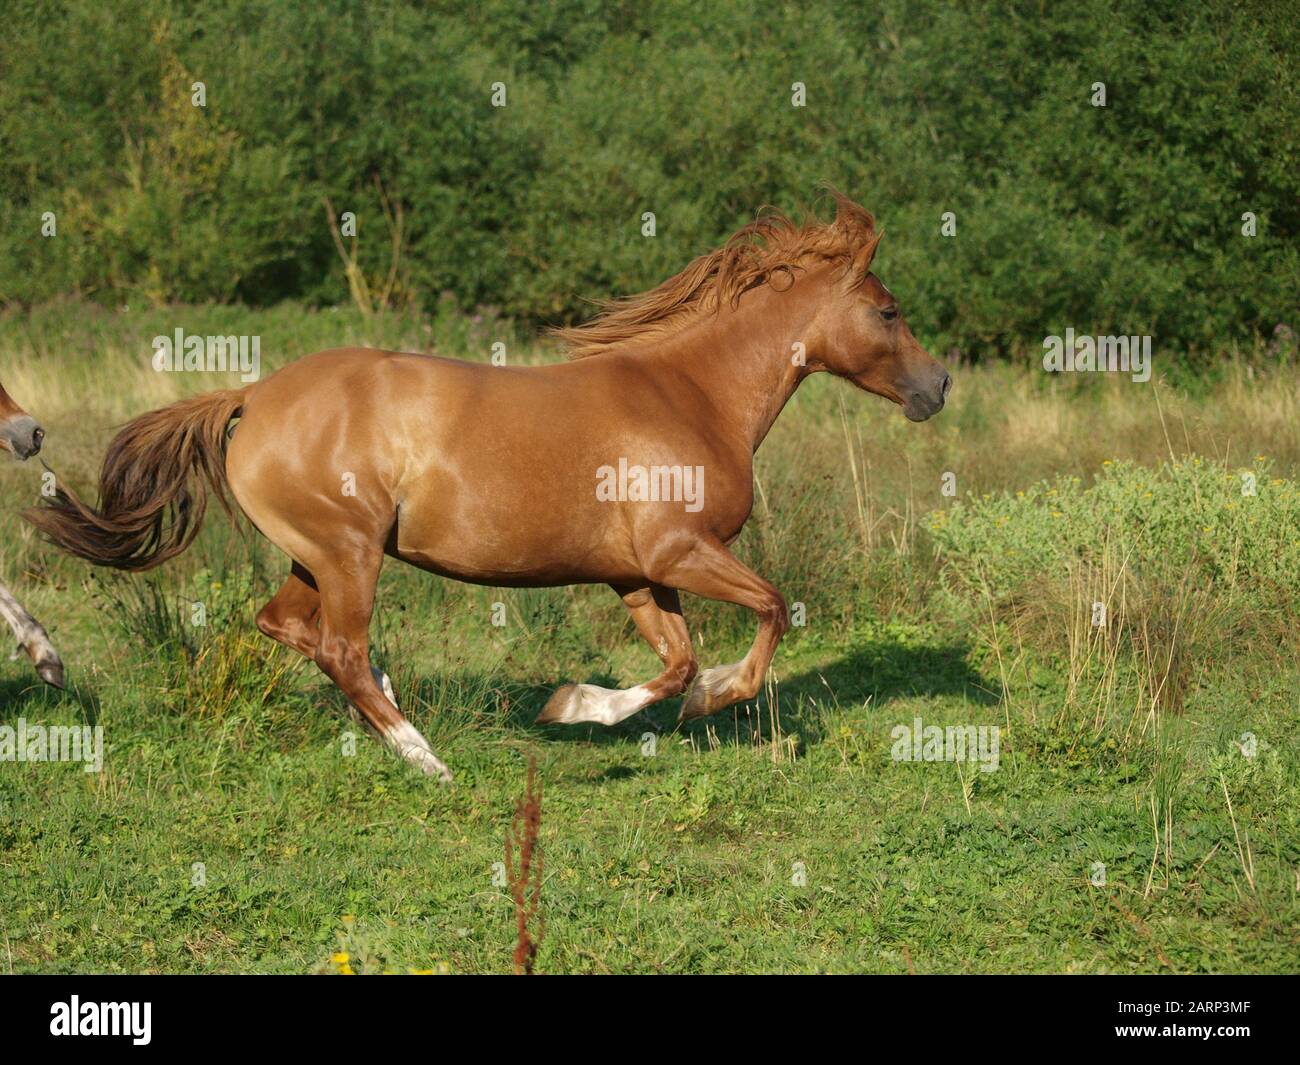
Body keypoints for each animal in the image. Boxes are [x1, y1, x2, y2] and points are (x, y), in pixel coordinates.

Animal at [27, 191, 949, 780]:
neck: (690, 394)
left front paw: (579, 705)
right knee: (339, 647)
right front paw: (692, 703)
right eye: (890, 310)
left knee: (287, 627)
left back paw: (394, 709)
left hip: (315, 555)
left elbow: (679, 660)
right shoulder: (681, 552)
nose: (936, 388)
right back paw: (424, 756)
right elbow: (769, 612)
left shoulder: (639, 573)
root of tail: (251, 397)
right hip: (349, 553)